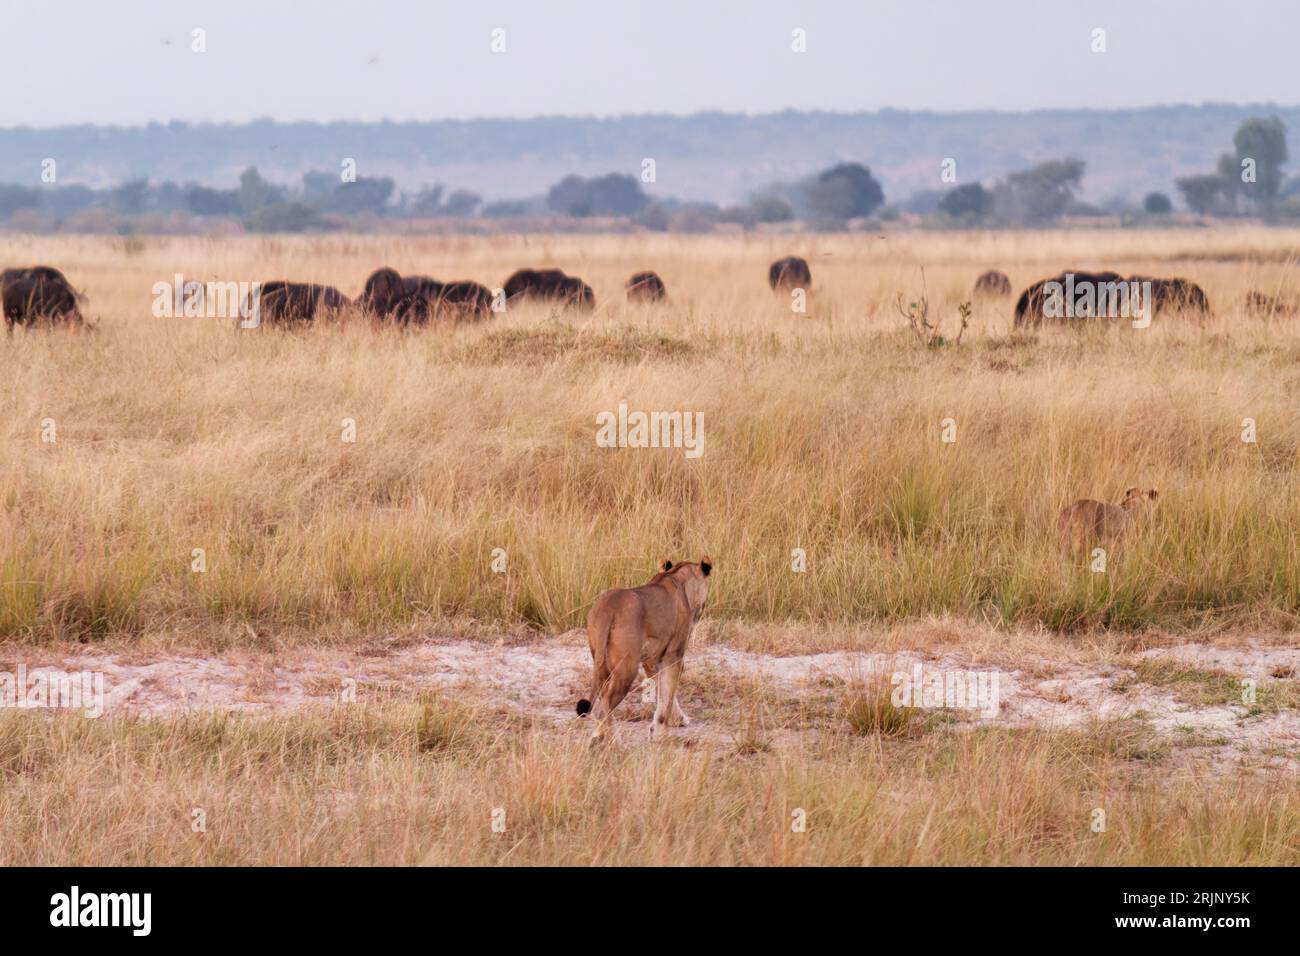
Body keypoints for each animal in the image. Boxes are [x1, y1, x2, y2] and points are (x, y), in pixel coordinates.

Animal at [576, 556, 712, 743]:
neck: (678, 577)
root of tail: (609, 606)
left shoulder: (651, 660)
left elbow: (663, 692)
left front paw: (676, 720)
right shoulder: (674, 654)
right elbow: (668, 694)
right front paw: (661, 733)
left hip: (601, 660)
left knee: (601, 697)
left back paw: (600, 736)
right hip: (627, 667)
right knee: (602, 707)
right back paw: (613, 740)